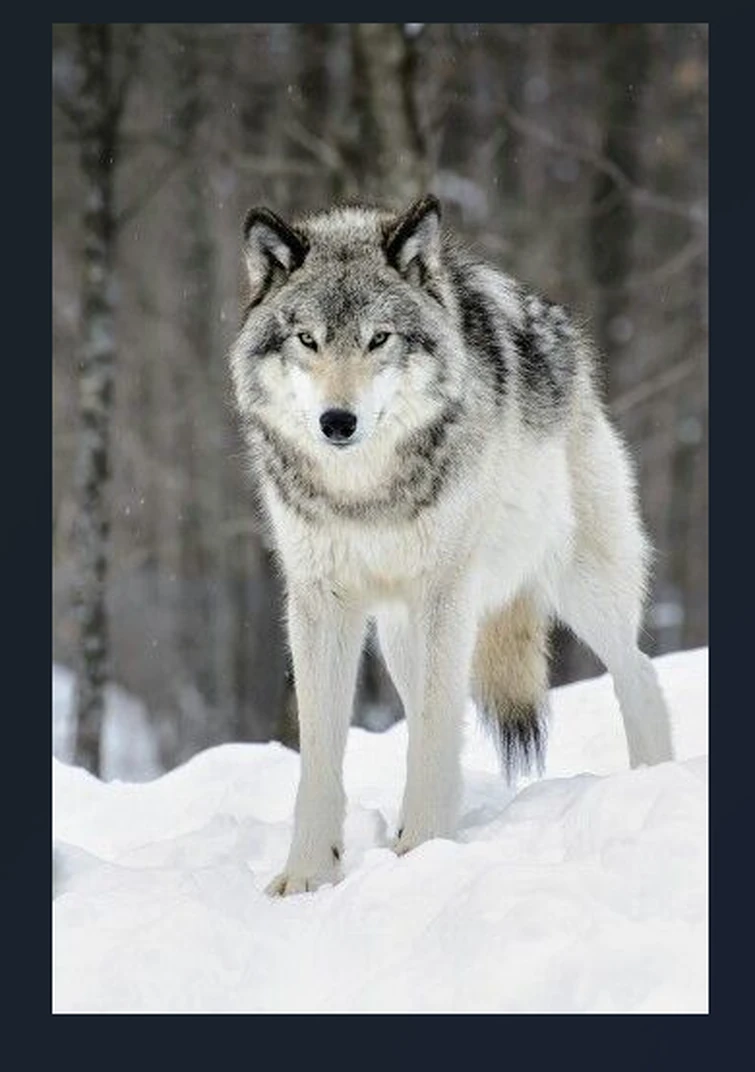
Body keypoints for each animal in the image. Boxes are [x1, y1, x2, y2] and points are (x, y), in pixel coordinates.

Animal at [229, 195, 674, 897]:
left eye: (379, 338)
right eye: (308, 339)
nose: (337, 422)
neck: (364, 493)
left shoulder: (446, 589)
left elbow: (435, 732)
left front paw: (423, 850)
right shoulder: (320, 602)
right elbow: (322, 753)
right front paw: (308, 874)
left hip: (579, 586)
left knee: (640, 674)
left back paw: (649, 784)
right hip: (402, 631)